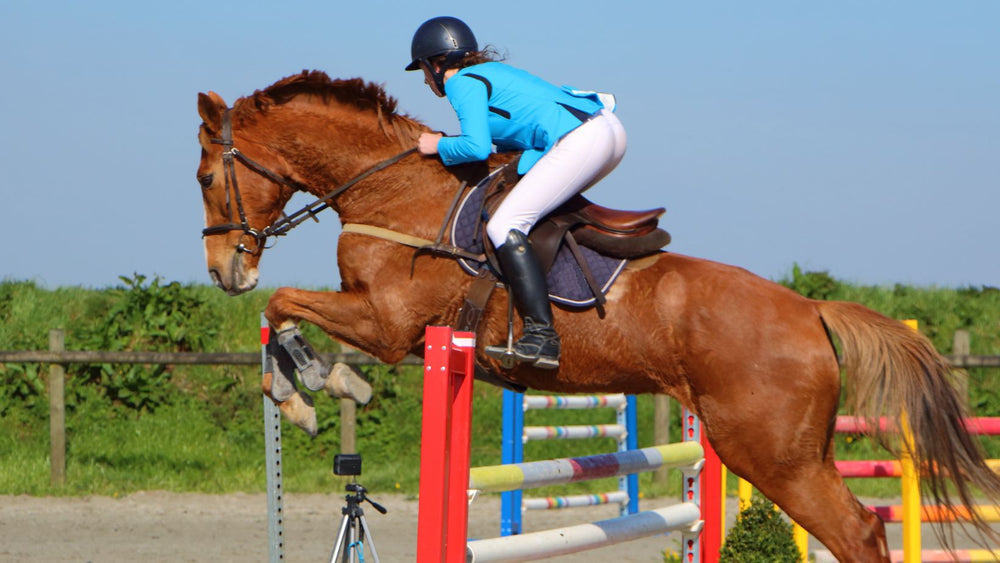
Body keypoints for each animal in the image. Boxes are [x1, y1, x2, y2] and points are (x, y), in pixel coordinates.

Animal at [194, 70, 1000, 562]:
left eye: (205, 176)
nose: (224, 270)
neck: (392, 193)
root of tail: (809, 308)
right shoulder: (384, 323)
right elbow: (281, 316)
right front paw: (306, 392)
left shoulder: (390, 327)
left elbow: (284, 307)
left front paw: (317, 388)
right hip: (787, 450)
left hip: (774, 456)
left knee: (857, 531)